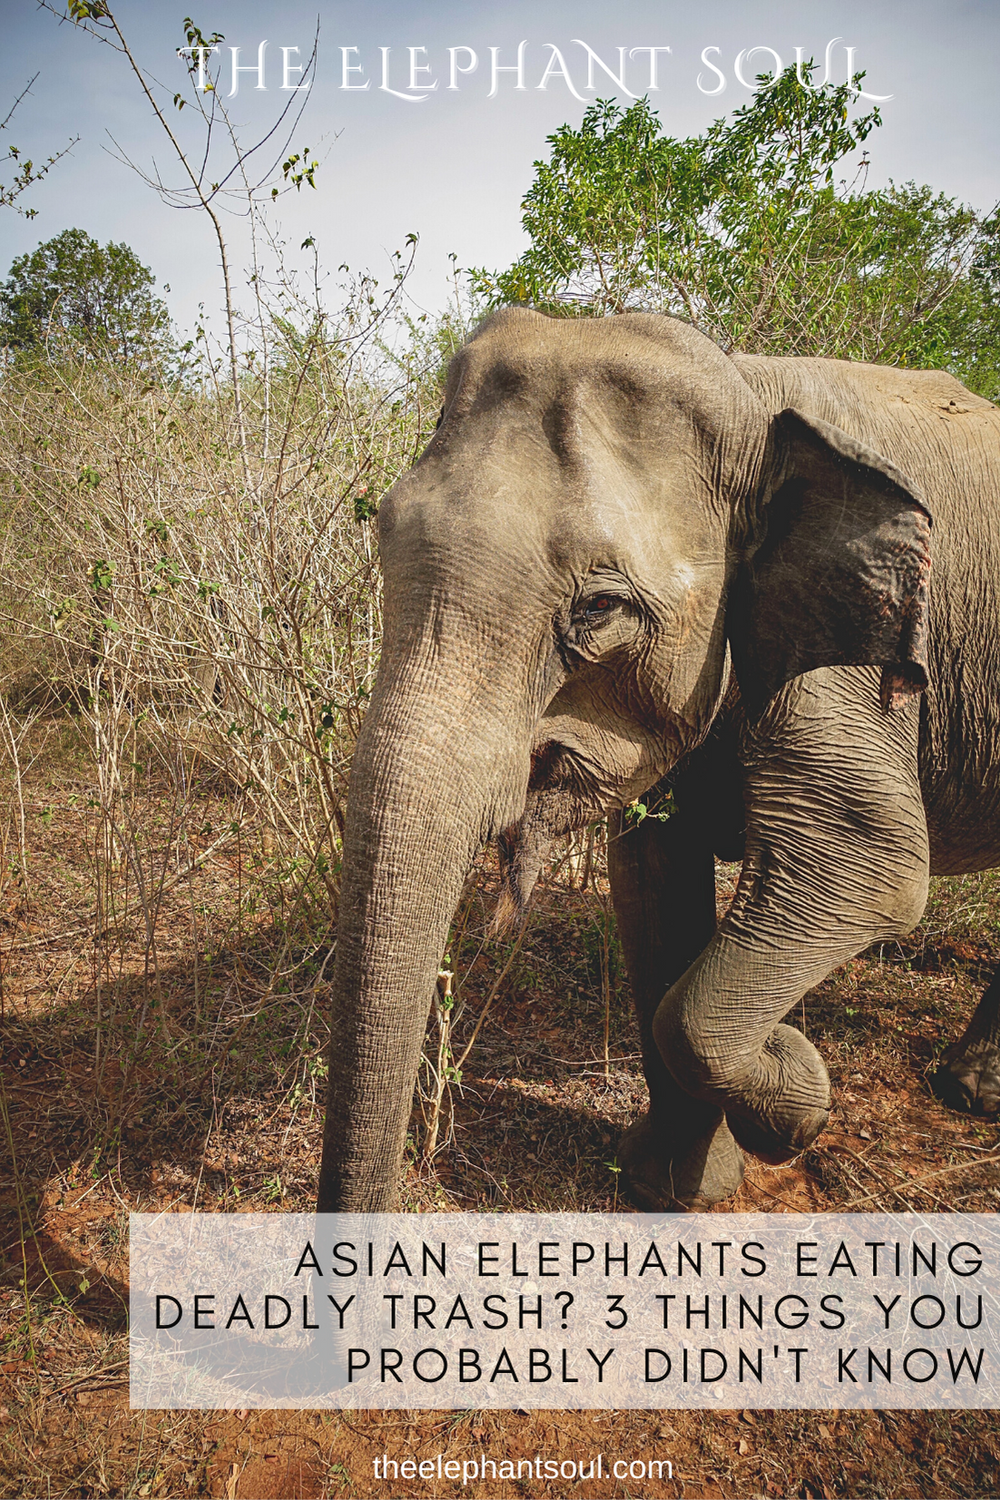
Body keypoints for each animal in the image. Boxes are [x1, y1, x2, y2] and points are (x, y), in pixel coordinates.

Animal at [316, 307, 1000, 1214]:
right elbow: (651, 881)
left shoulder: (849, 674)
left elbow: (869, 868)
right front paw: (673, 1189)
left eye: (600, 607)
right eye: (384, 543)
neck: (746, 387)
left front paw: (797, 1099)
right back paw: (968, 1089)